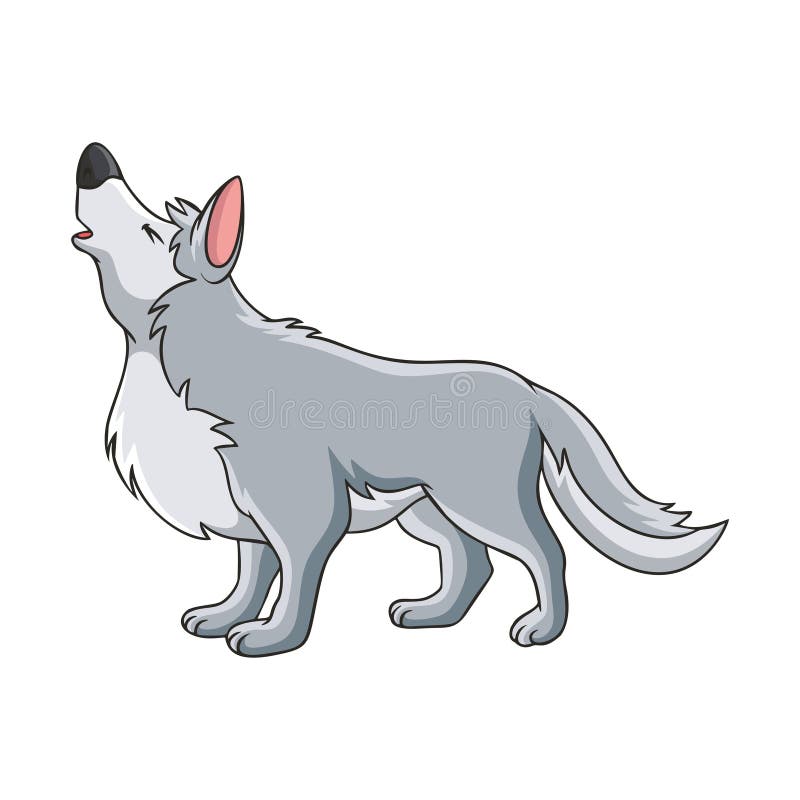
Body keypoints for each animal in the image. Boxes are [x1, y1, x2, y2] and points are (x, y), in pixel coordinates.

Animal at [73, 142, 726, 657]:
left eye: (152, 230)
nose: (94, 159)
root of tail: (528, 389)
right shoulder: (244, 512)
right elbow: (251, 575)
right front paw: (223, 618)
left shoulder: (301, 511)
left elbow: (294, 578)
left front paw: (272, 638)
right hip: (428, 509)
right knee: (474, 562)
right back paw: (433, 615)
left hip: (481, 502)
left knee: (546, 551)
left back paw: (542, 628)